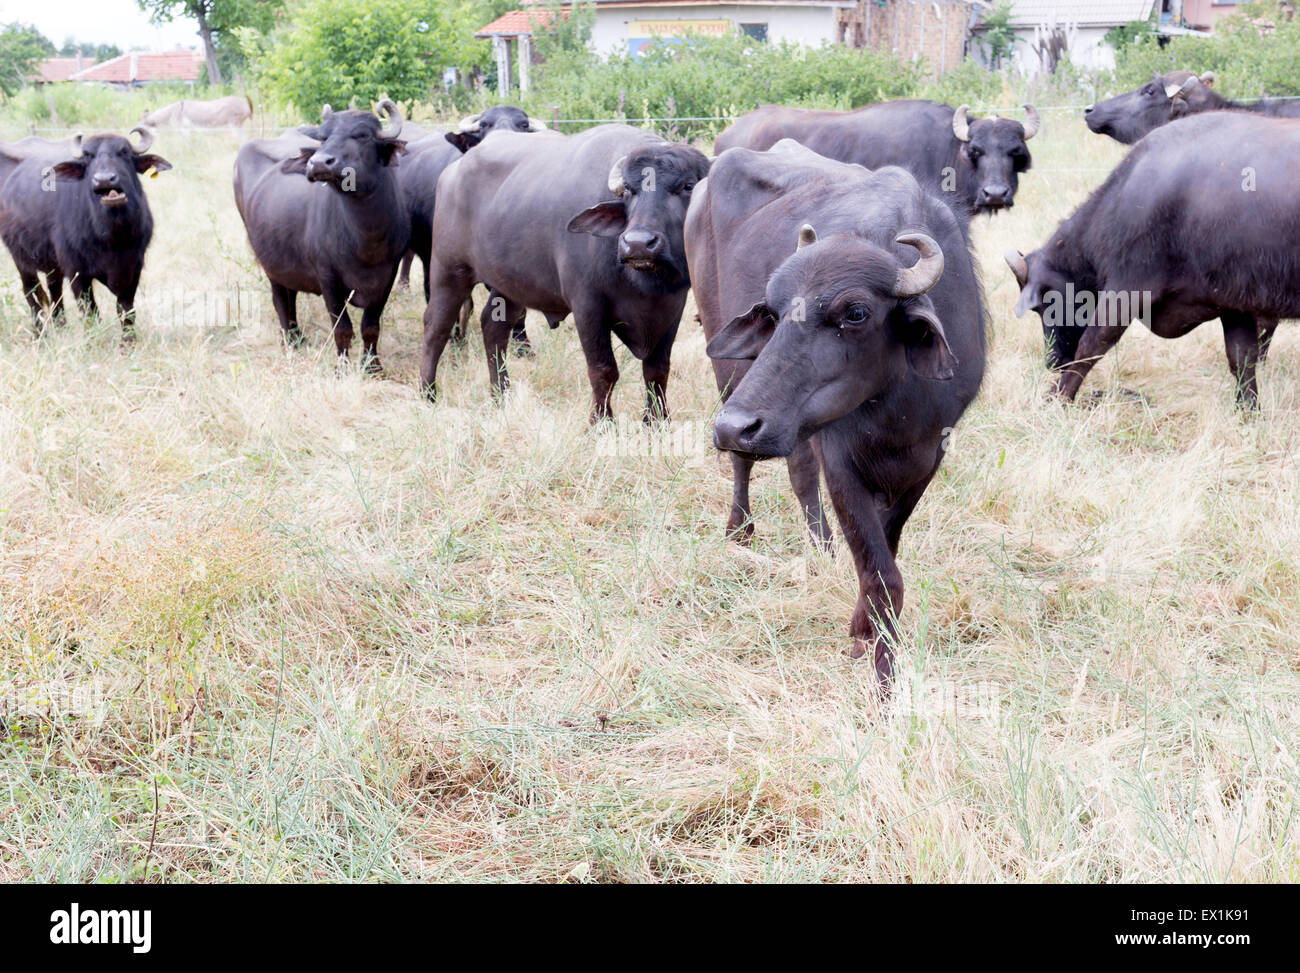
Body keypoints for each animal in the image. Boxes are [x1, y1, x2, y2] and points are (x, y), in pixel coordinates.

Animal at [0, 126, 171, 336]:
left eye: (124, 152)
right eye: (88, 156)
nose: (104, 180)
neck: (113, 236)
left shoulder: (134, 267)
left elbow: (126, 311)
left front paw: (128, 341)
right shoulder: (77, 273)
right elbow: (90, 313)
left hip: (52, 265)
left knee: (54, 290)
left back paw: (61, 327)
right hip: (20, 257)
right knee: (31, 293)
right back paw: (41, 333)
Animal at [233, 101, 409, 372]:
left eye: (363, 135)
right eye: (324, 137)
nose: (318, 164)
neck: (366, 240)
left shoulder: (388, 276)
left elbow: (371, 327)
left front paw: (373, 367)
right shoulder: (328, 279)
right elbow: (342, 328)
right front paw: (342, 368)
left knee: (291, 295)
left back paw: (298, 336)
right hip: (269, 261)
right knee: (280, 298)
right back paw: (289, 342)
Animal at [419, 124, 710, 420]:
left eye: (687, 186)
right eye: (629, 191)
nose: (638, 243)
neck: (643, 283)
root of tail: (451, 173)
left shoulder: (672, 308)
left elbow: (657, 371)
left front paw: (657, 421)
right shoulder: (588, 307)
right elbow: (604, 370)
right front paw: (601, 422)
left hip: (510, 285)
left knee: (493, 327)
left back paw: (501, 395)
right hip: (449, 271)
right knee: (436, 327)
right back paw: (428, 393)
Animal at [689, 140, 985, 684]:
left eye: (855, 312)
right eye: (774, 311)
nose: (736, 427)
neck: (898, 404)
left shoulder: (928, 457)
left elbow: (886, 548)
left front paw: (863, 630)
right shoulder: (843, 462)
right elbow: (882, 573)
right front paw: (882, 673)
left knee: (798, 467)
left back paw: (819, 542)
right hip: (727, 369)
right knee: (751, 463)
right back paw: (741, 529)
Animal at [1006, 112, 1300, 410]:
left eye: (1043, 305)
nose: (1052, 361)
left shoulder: (1127, 288)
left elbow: (1092, 344)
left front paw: (1057, 396)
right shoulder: (1233, 301)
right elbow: (1241, 358)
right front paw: (1248, 410)